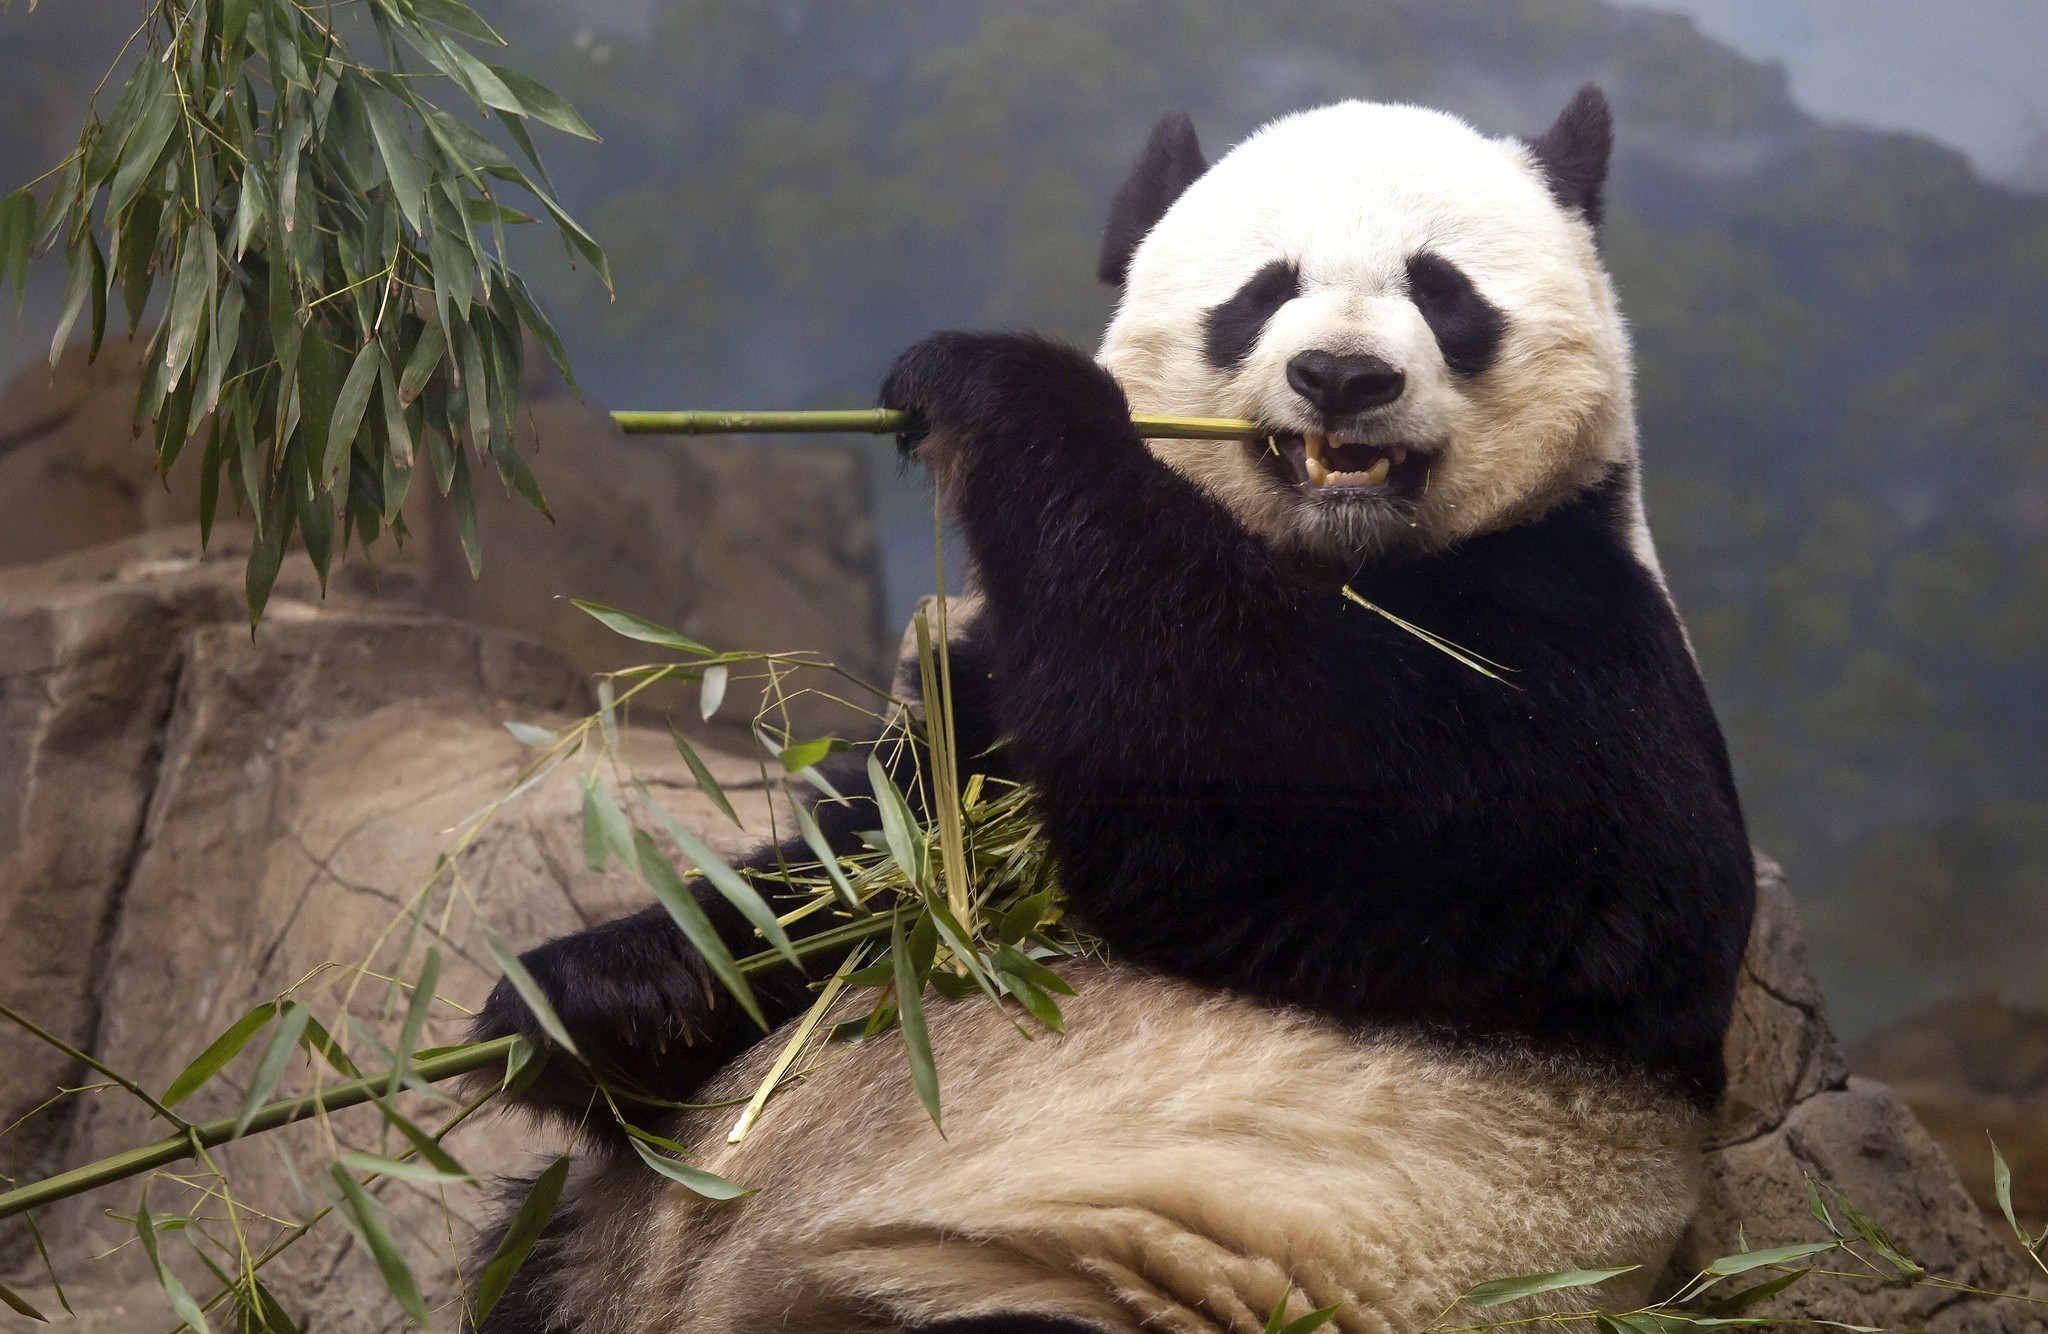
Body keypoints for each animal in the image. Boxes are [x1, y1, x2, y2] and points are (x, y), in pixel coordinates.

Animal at [469, 87, 1757, 1333]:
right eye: (1262, 291)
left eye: (1441, 293)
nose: (1344, 376)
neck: (1334, 556)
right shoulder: (994, 701)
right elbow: (878, 868)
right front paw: (602, 995)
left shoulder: (1580, 649)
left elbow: (1285, 784)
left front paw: (992, 381)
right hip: (600, 1244)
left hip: (1096, 1274)